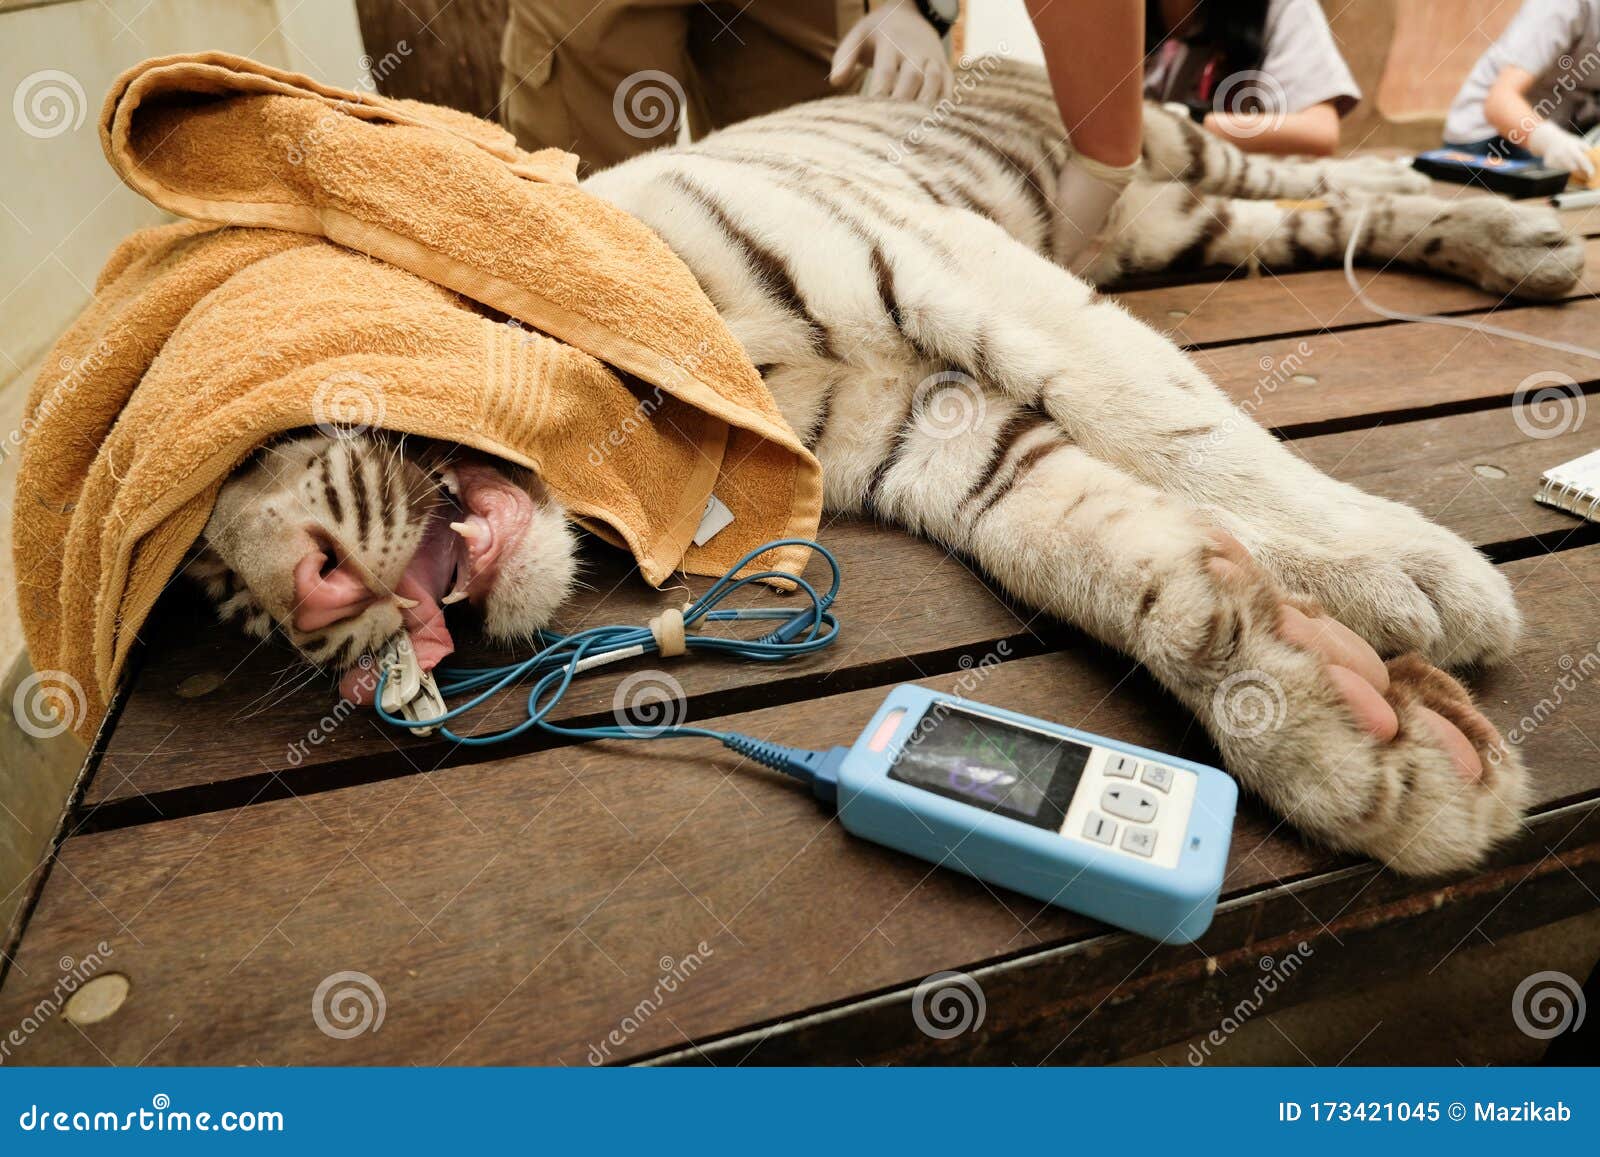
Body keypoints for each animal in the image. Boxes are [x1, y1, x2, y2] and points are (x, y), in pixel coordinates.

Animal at [190, 59, 1584, 876]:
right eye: (223, 601)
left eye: (265, 436)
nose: (307, 594)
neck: (646, 415)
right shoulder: (930, 424)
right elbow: (1101, 547)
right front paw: (1357, 735)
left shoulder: (955, 267)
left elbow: (1169, 418)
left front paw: (1401, 568)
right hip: (1176, 222)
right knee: (1316, 210)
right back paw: (1511, 242)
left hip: (1168, 153)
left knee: (1339, 166)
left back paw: (1530, 208)